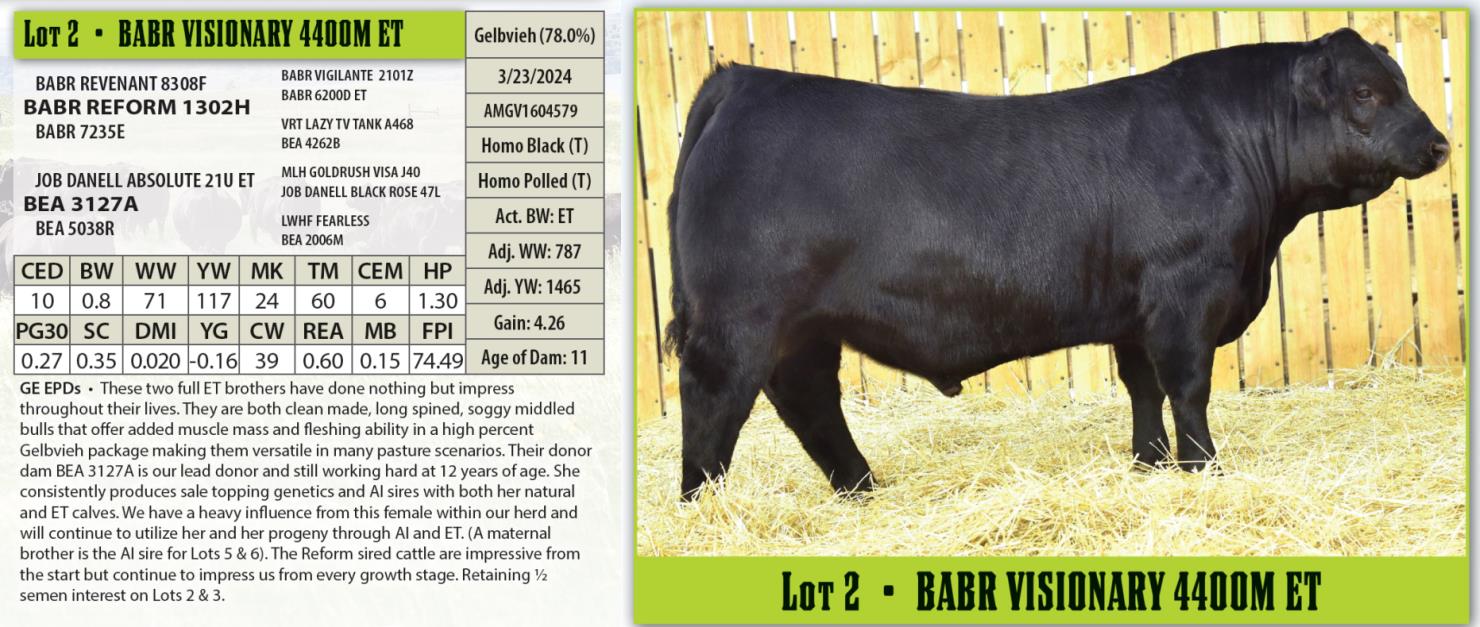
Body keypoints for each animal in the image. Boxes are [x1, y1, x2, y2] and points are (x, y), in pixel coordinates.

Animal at [660, 28, 1451, 500]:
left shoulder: (1135, 314)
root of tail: (742, 80)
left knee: (807, 399)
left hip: (803, 327)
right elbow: (1189, 387)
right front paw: (1204, 468)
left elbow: (1143, 389)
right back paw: (705, 507)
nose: (1439, 143)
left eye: (1402, 83)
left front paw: (1150, 464)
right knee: (715, 398)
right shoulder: (1185, 295)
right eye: (1364, 92)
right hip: (739, 319)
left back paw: (860, 487)